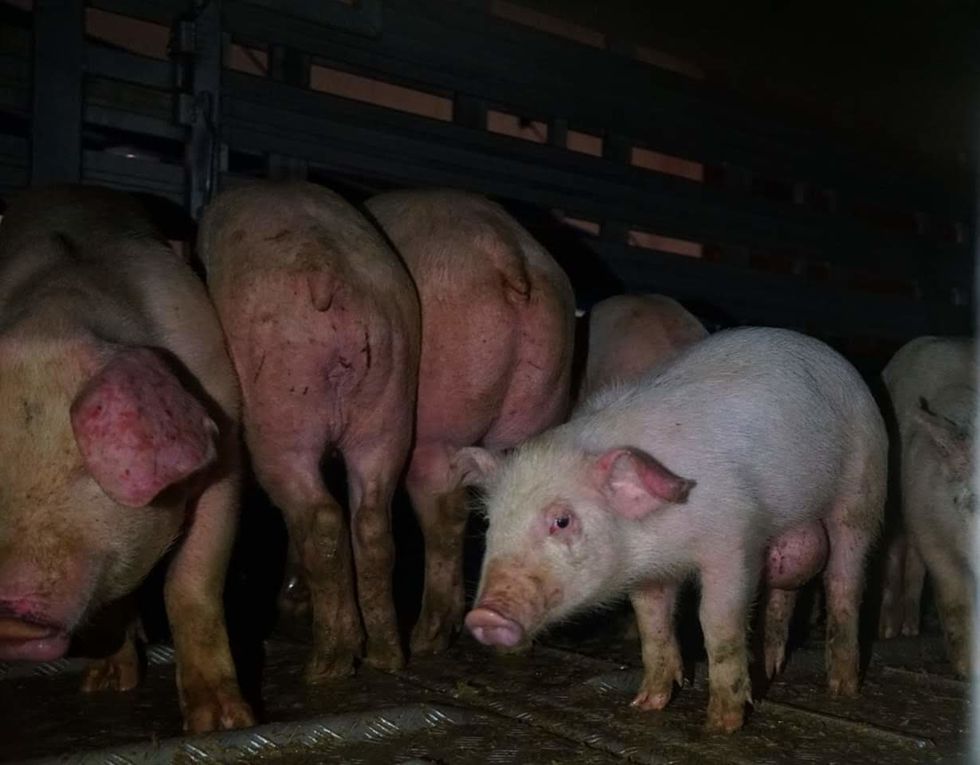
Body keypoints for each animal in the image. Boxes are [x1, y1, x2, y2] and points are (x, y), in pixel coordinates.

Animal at [0, 186, 254, 732]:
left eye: (86, 467)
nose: (8, 618)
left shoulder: (225, 447)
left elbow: (192, 584)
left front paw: (221, 723)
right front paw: (105, 686)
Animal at [198, 181, 420, 679]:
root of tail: (328, 275)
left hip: (280, 411)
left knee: (320, 517)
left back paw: (326, 665)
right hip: (388, 402)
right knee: (372, 522)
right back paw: (384, 657)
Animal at [462, 327, 886, 733]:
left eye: (562, 520)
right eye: (490, 522)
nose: (484, 617)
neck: (660, 543)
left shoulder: (733, 539)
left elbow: (717, 623)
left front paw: (721, 726)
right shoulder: (648, 573)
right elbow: (652, 626)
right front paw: (645, 705)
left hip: (862, 490)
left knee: (844, 583)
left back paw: (842, 689)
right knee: (785, 592)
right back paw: (773, 666)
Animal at [878, 336, 975, 675]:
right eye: (969, 501)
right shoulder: (932, 527)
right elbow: (954, 596)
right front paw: (965, 669)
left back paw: (909, 629)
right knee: (896, 551)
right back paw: (890, 632)